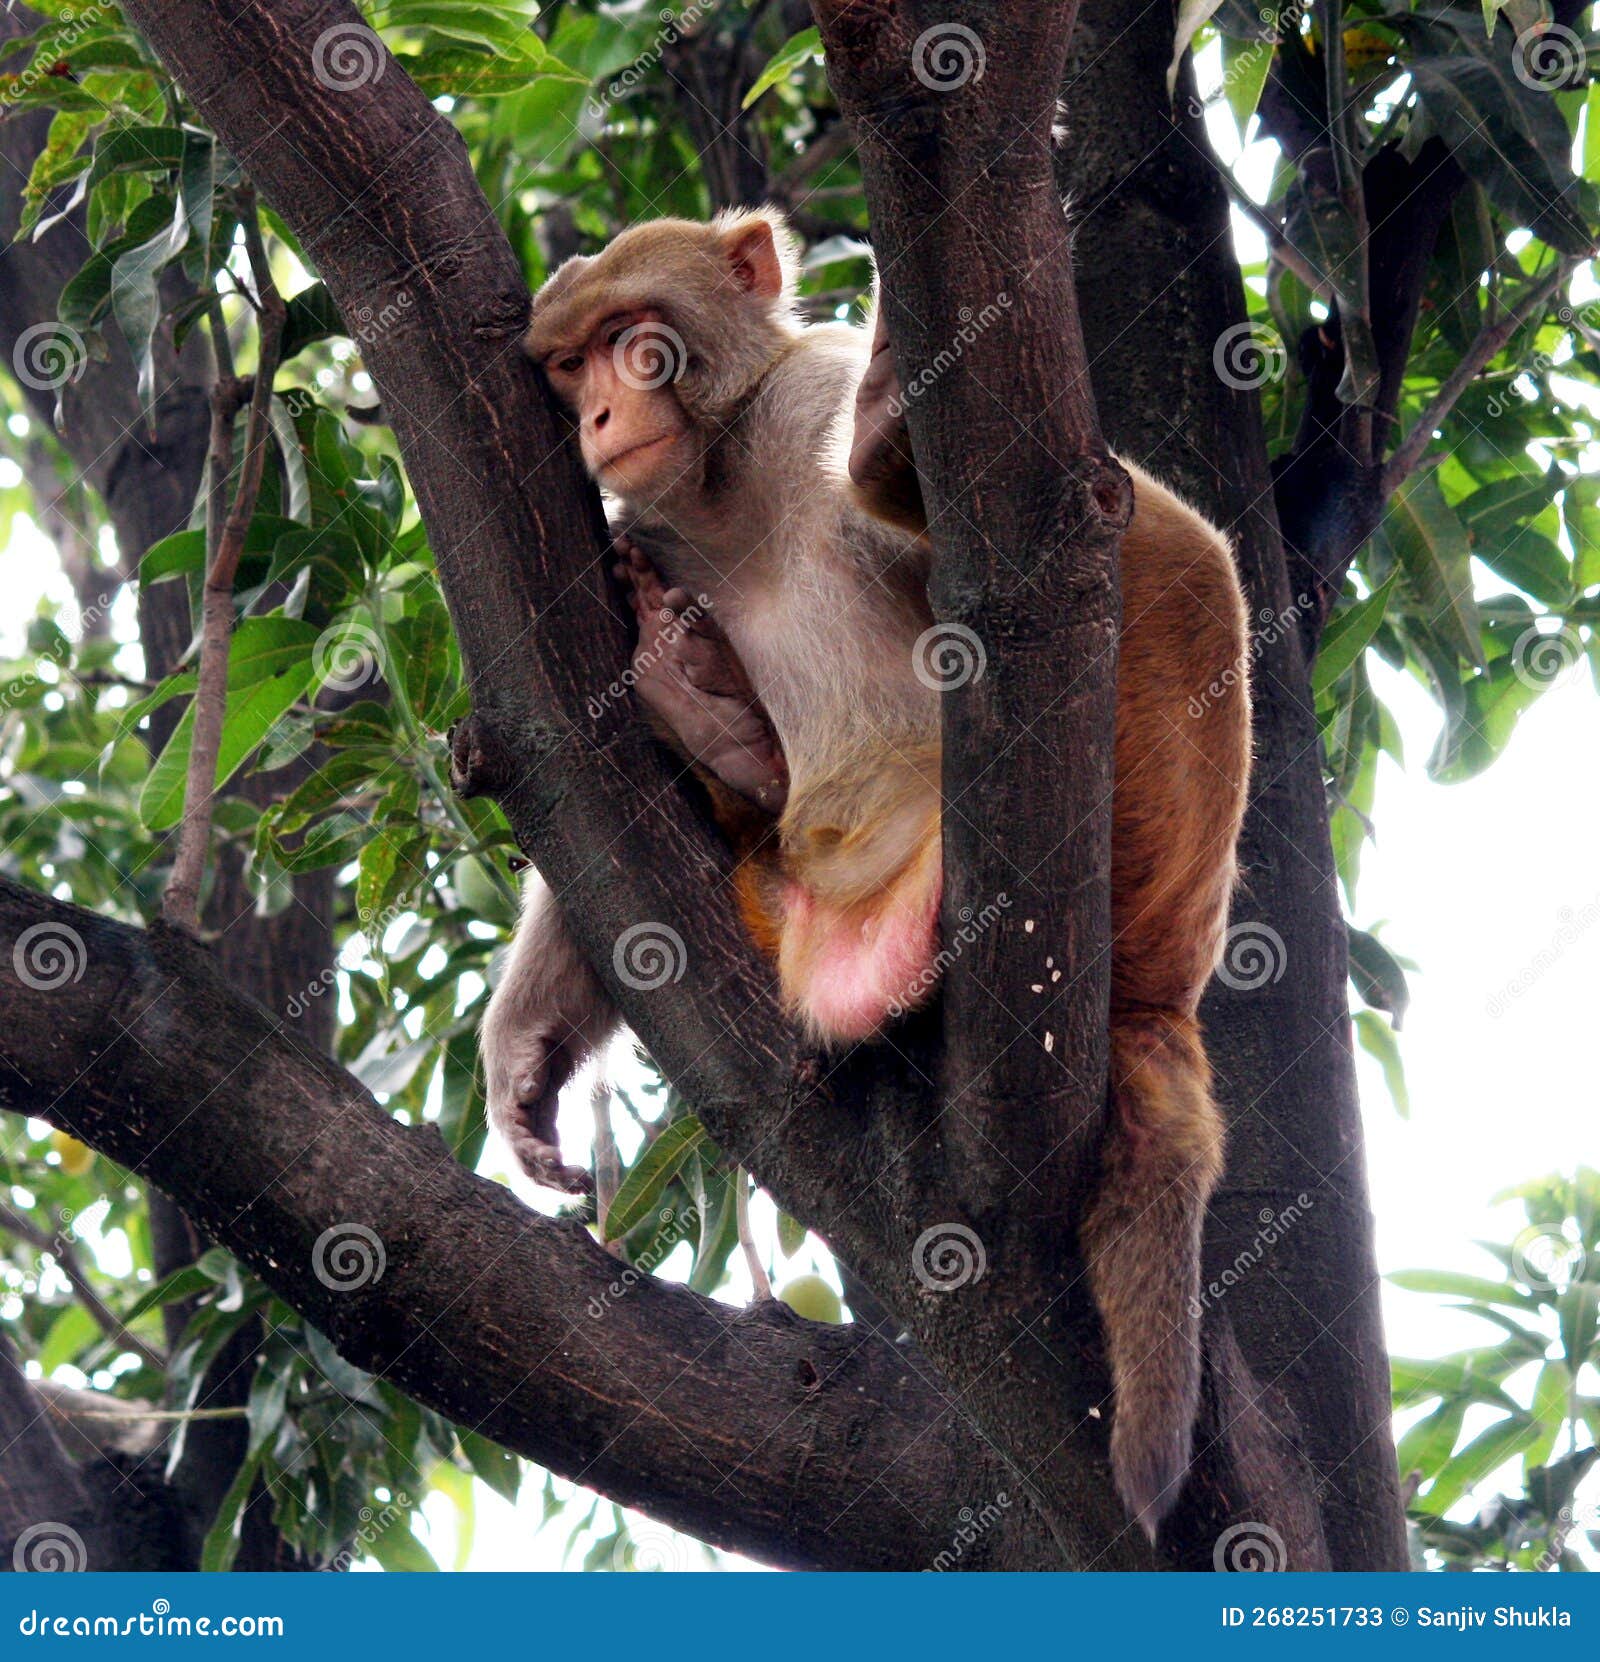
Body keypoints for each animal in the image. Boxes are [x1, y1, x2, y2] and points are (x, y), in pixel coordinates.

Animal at [482, 207, 1252, 1538]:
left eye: (636, 344)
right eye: (569, 365)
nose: (599, 416)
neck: (727, 482)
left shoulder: (814, 392)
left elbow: (1153, 540)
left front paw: (890, 428)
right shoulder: (643, 531)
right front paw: (524, 1051)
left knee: (1146, 559)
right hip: (786, 900)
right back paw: (715, 720)